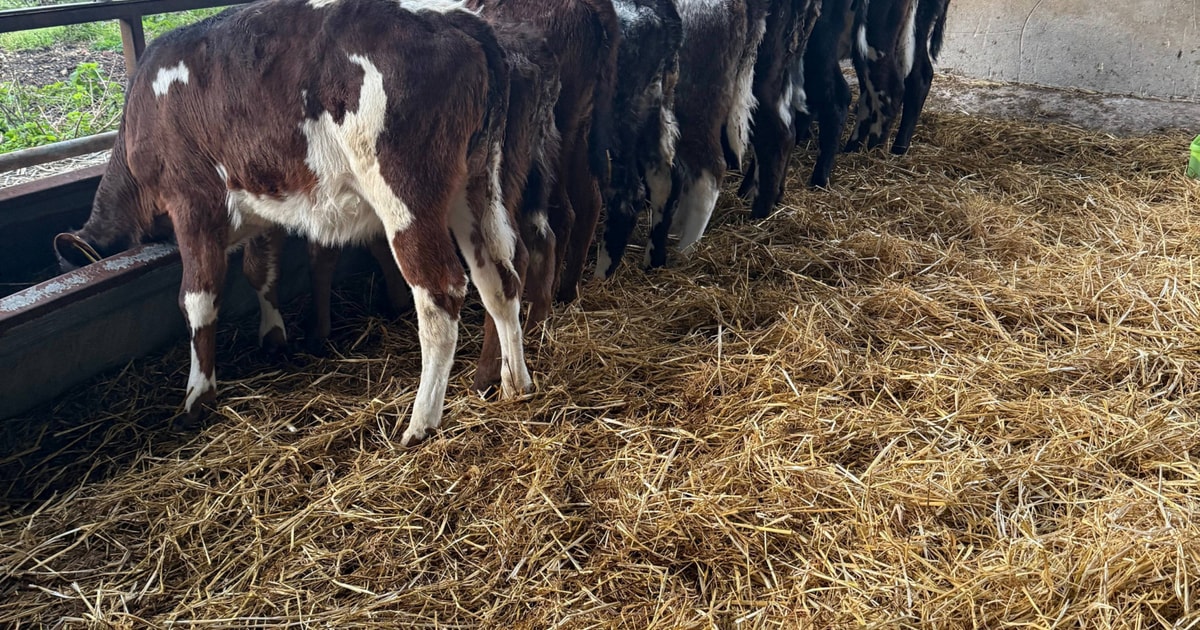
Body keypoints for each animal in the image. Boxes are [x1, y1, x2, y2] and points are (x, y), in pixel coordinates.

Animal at [51, 0, 533, 447]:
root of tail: (454, 20)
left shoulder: (192, 202)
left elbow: (198, 299)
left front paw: (196, 397)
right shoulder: (266, 206)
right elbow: (259, 272)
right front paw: (274, 337)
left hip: (406, 192)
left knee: (440, 293)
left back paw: (420, 423)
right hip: (476, 184)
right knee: (499, 278)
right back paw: (516, 383)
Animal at [591, 0, 684, 279]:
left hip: (615, 121)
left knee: (627, 196)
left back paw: (600, 277)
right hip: (657, 105)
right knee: (668, 180)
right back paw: (654, 261)